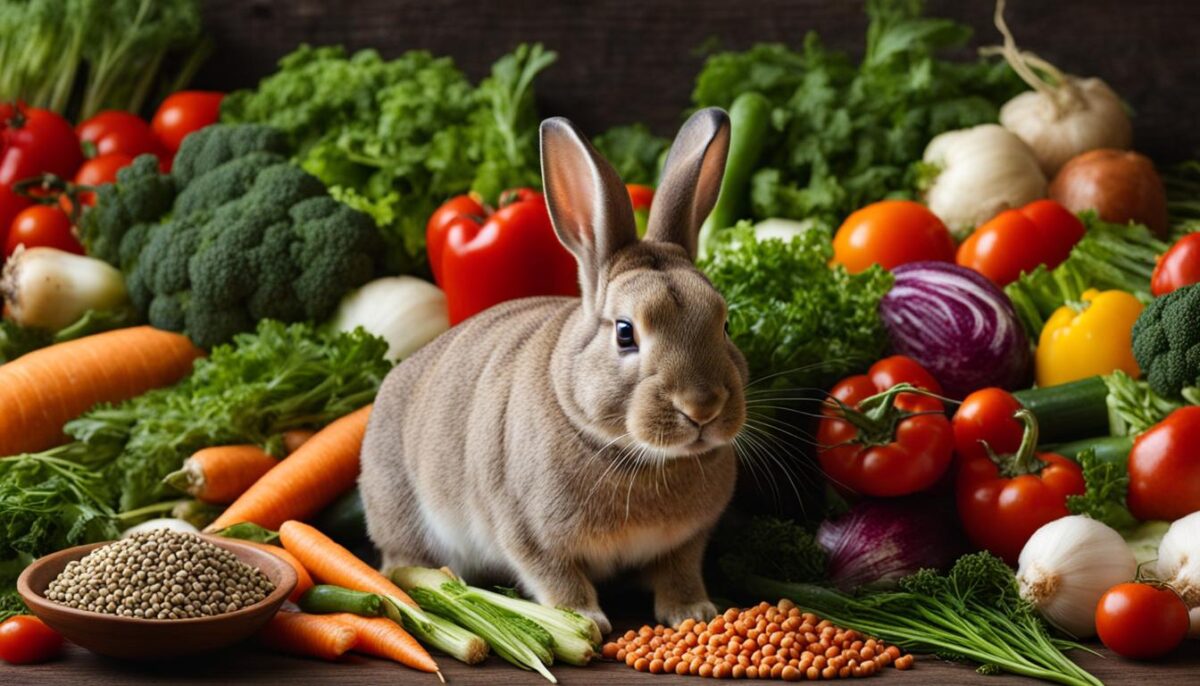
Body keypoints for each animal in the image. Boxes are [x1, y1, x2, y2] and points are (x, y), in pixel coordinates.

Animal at [359, 107, 747, 635]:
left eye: (725, 323)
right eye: (625, 332)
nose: (702, 407)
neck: (638, 455)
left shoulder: (687, 541)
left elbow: (680, 571)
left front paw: (693, 613)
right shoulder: (528, 531)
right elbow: (555, 576)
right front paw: (585, 622)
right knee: (399, 562)